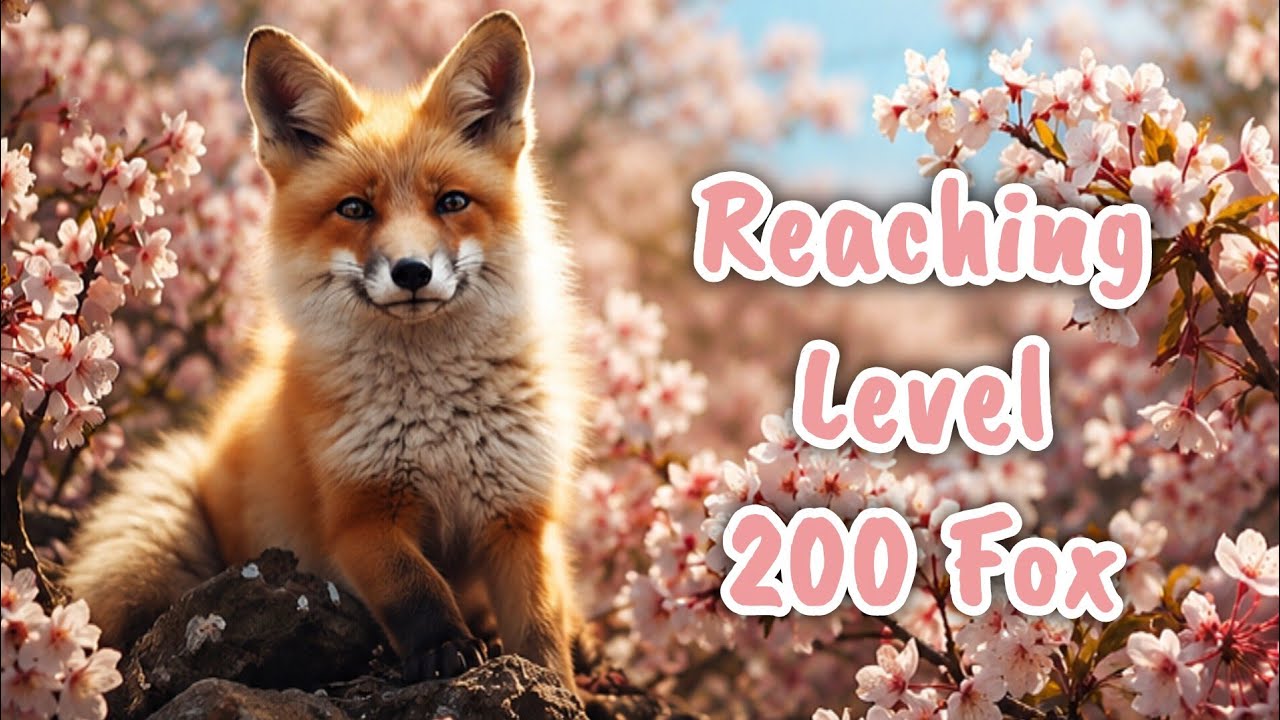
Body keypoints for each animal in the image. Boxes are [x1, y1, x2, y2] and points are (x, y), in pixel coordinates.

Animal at [62, 11, 585, 688]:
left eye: (451, 202)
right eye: (355, 209)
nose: (412, 272)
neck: (439, 419)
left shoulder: (519, 517)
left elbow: (541, 627)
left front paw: (552, 685)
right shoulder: (360, 515)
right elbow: (415, 588)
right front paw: (444, 649)